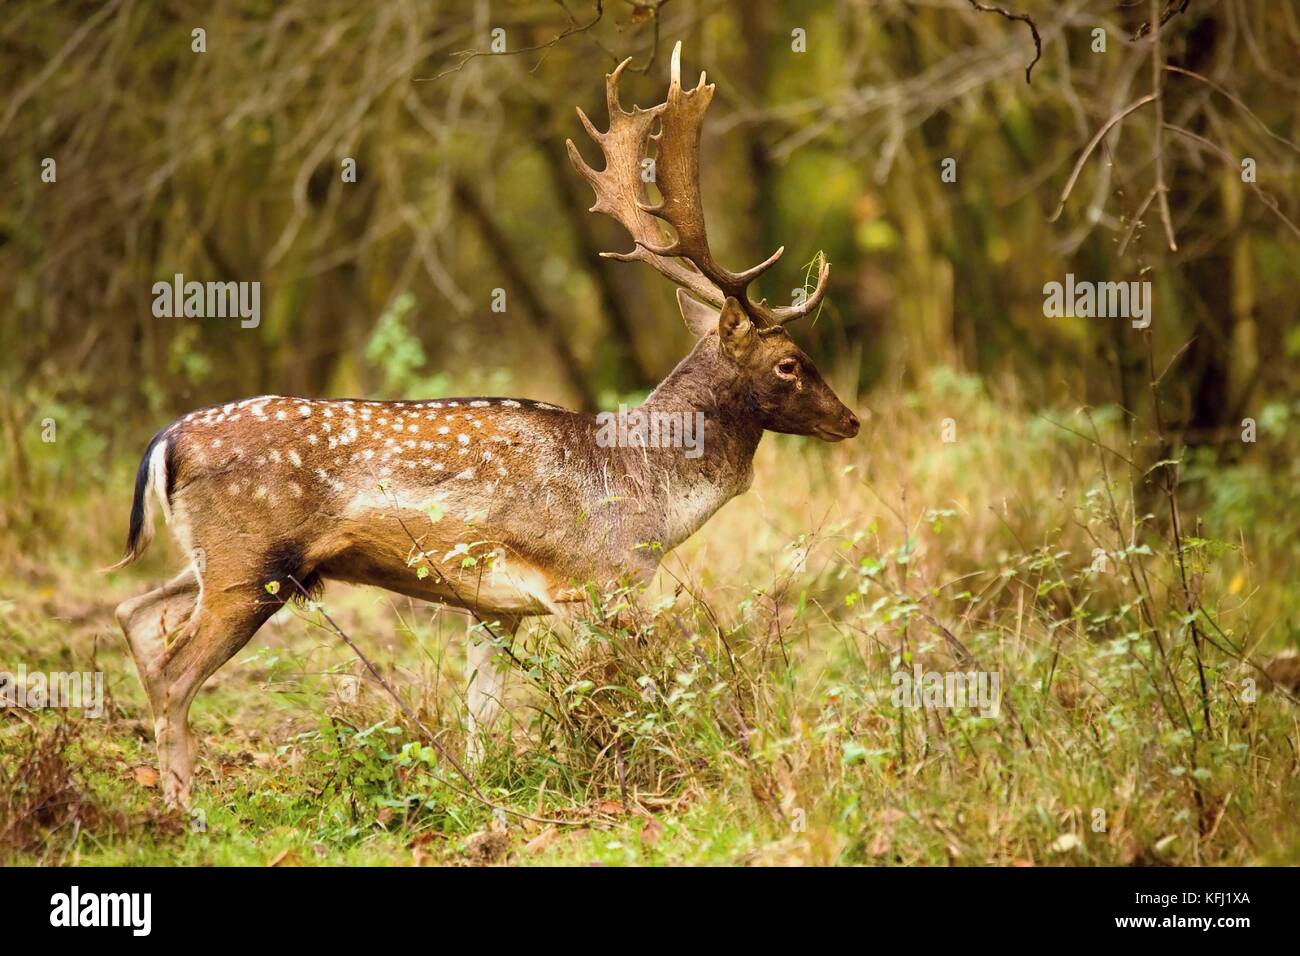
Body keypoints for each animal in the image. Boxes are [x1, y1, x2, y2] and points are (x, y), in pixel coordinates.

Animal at [110, 43, 860, 807]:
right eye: (792, 363)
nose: (851, 419)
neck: (647, 489)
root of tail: (167, 442)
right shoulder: (592, 582)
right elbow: (624, 694)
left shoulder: (494, 608)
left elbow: (484, 716)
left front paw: (483, 793)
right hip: (248, 563)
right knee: (173, 668)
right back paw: (185, 808)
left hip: (218, 559)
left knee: (134, 613)